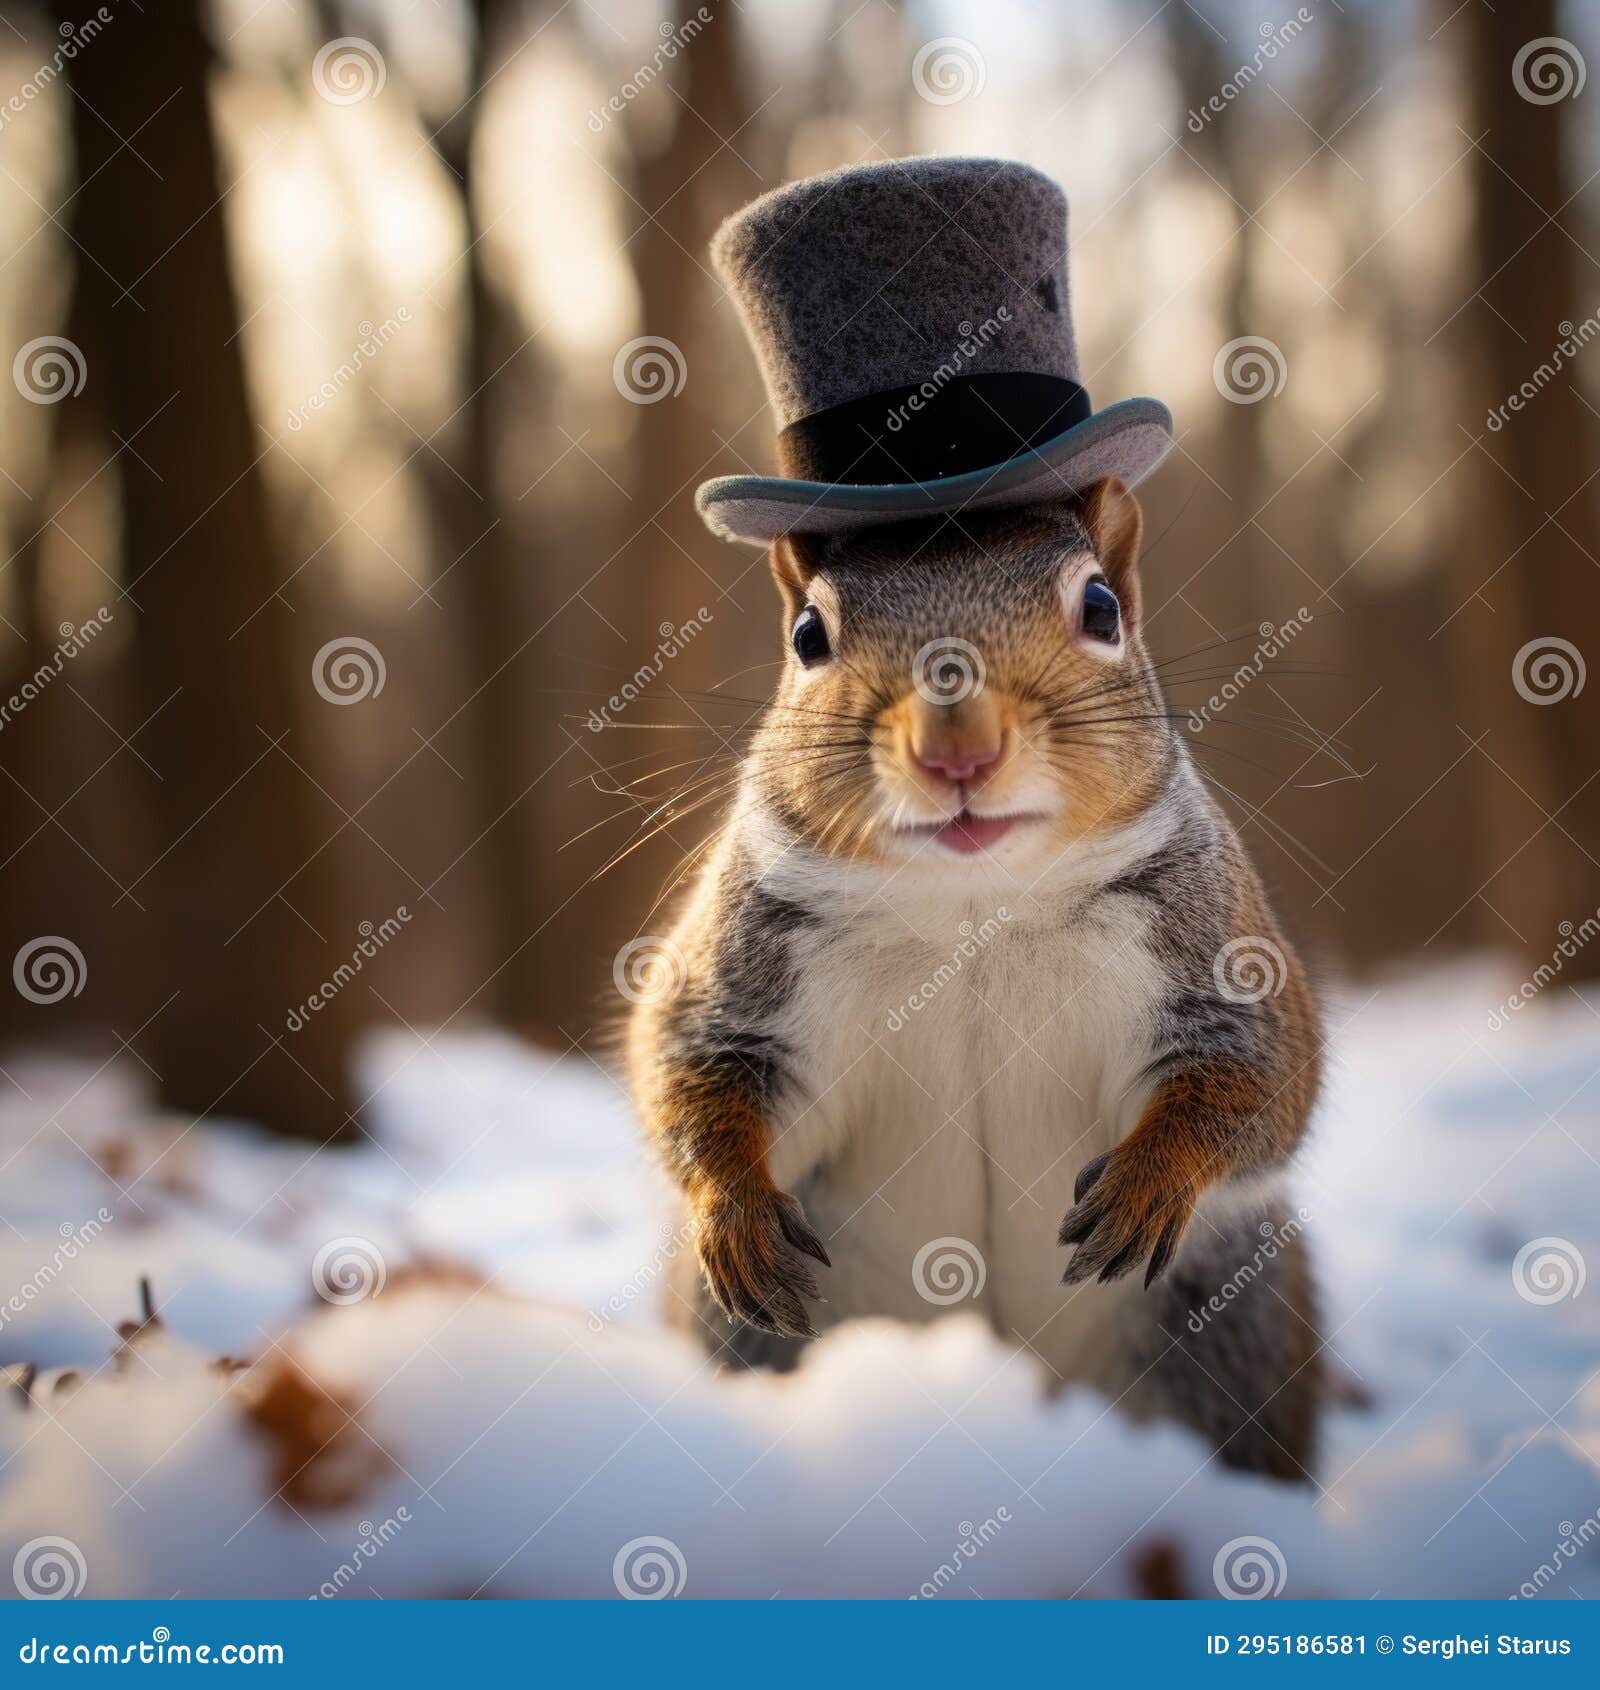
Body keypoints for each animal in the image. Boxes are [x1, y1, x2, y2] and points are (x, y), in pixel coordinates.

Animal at [626, 477, 1324, 1481]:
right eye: (808, 635)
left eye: (1101, 608)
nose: (958, 749)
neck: (974, 907)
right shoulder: (739, 979)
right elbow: (690, 1069)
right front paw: (736, 1210)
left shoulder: (1224, 963)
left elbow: (1254, 1079)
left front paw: (1151, 1181)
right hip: (745, 1336)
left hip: (1234, 1320)